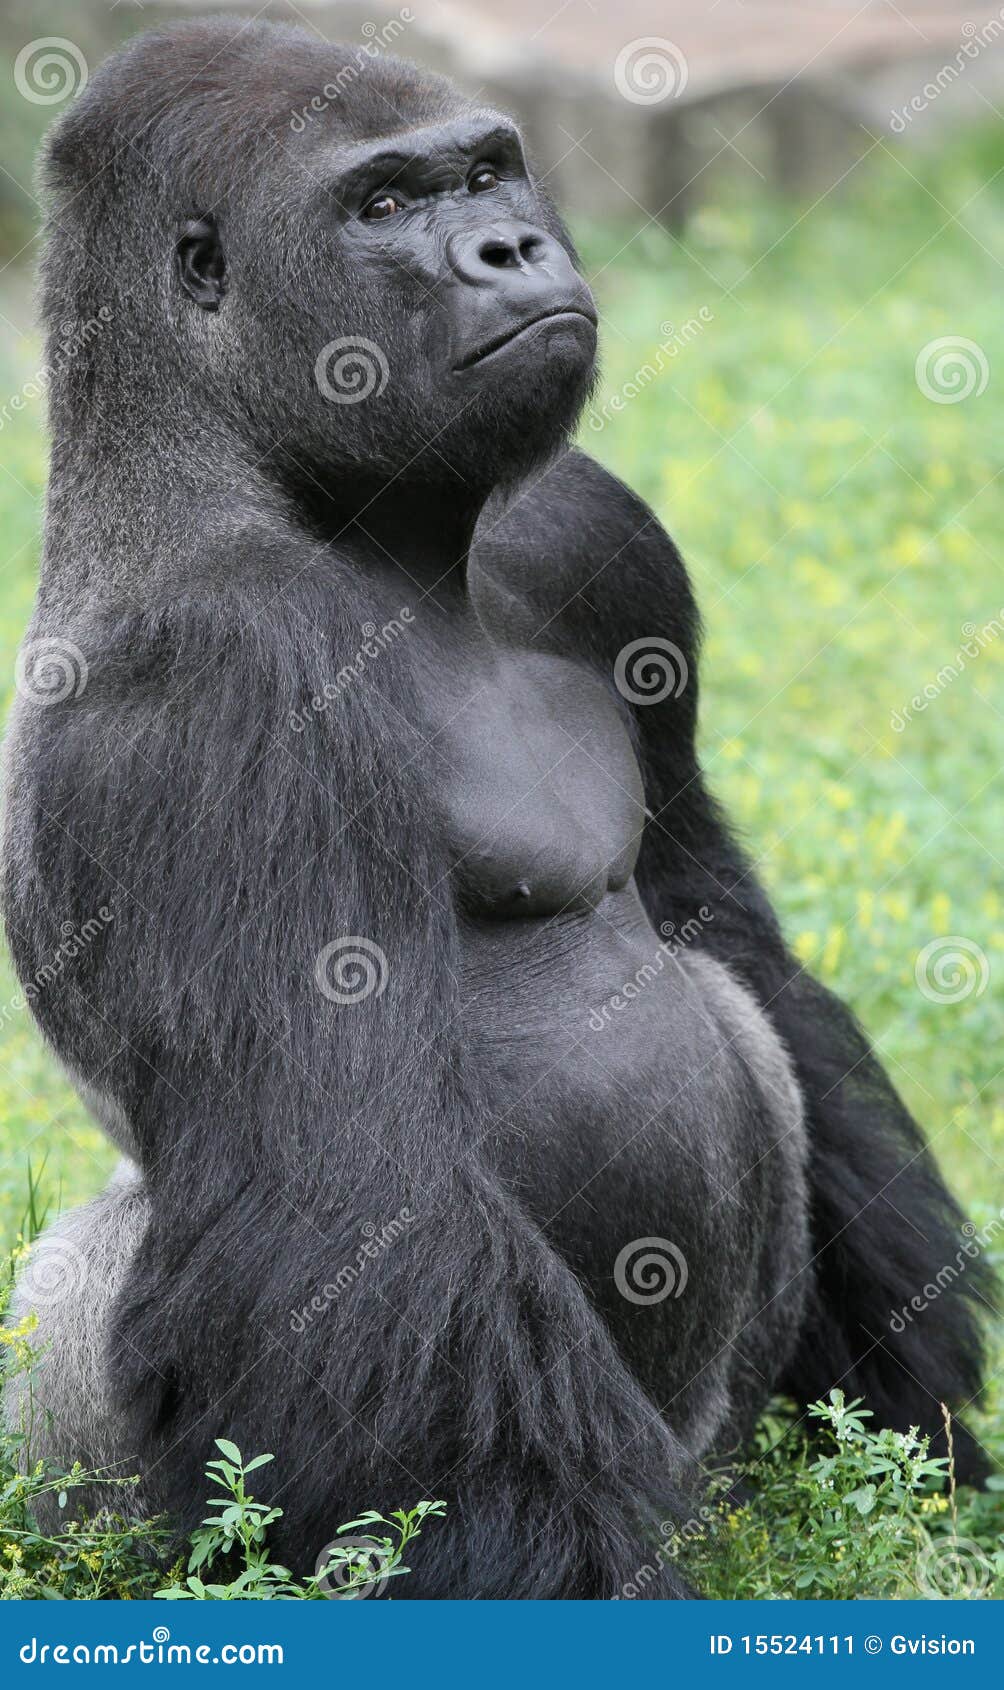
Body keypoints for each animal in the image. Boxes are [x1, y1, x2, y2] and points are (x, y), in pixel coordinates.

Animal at [1, 19, 989, 1599]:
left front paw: (924, 1410)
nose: (513, 245)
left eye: (484, 172)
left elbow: (721, 928)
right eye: (384, 204)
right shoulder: (215, 679)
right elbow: (343, 1183)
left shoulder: (591, 534)